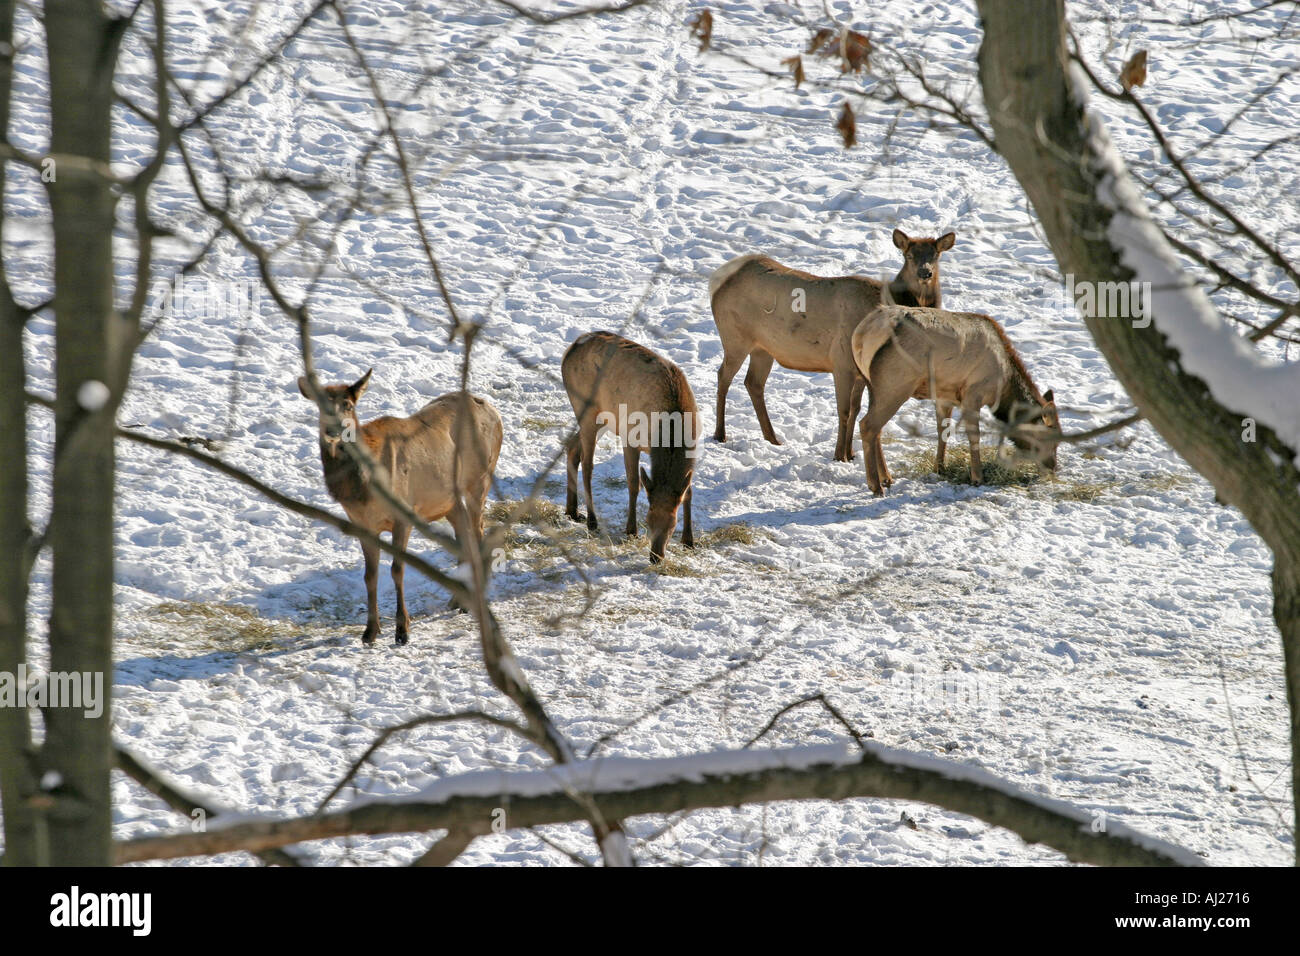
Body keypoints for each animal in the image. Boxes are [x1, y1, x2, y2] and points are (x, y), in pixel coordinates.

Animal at [298, 369, 503, 646]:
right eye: (320, 406)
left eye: (348, 405)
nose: (333, 430)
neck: (363, 491)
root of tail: (493, 409)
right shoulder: (362, 524)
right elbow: (370, 575)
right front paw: (370, 631)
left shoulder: (404, 514)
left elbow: (397, 570)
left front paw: (402, 630)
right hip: (446, 498)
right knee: (464, 533)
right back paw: (458, 598)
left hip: (480, 479)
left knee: (479, 531)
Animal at [561, 331, 697, 564]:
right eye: (648, 521)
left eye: (673, 525)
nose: (655, 556)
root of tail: (568, 352)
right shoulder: (630, 438)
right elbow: (634, 484)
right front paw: (631, 530)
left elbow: (688, 492)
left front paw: (689, 540)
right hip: (585, 407)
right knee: (588, 464)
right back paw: (591, 520)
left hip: (603, 416)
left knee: (572, 447)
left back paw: (572, 510)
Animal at [709, 228, 955, 463]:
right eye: (909, 255)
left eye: (936, 256)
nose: (925, 273)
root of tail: (717, 281)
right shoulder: (841, 362)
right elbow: (843, 411)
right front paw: (839, 455)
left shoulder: (860, 373)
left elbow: (855, 410)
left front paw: (851, 453)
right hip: (735, 337)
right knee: (723, 376)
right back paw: (720, 434)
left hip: (764, 348)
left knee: (753, 383)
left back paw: (773, 438)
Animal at [850, 305, 1059, 496]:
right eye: (1051, 438)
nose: (1052, 468)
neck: (1003, 385)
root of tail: (862, 334)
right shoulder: (973, 393)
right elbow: (973, 435)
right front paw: (978, 477)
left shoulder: (944, 395)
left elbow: (943, 430)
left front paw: (940, 467)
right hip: (895, 384)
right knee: (868, 425)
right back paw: (875, 486)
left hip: (871, 382)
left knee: (877, 429)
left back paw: (887, 478)